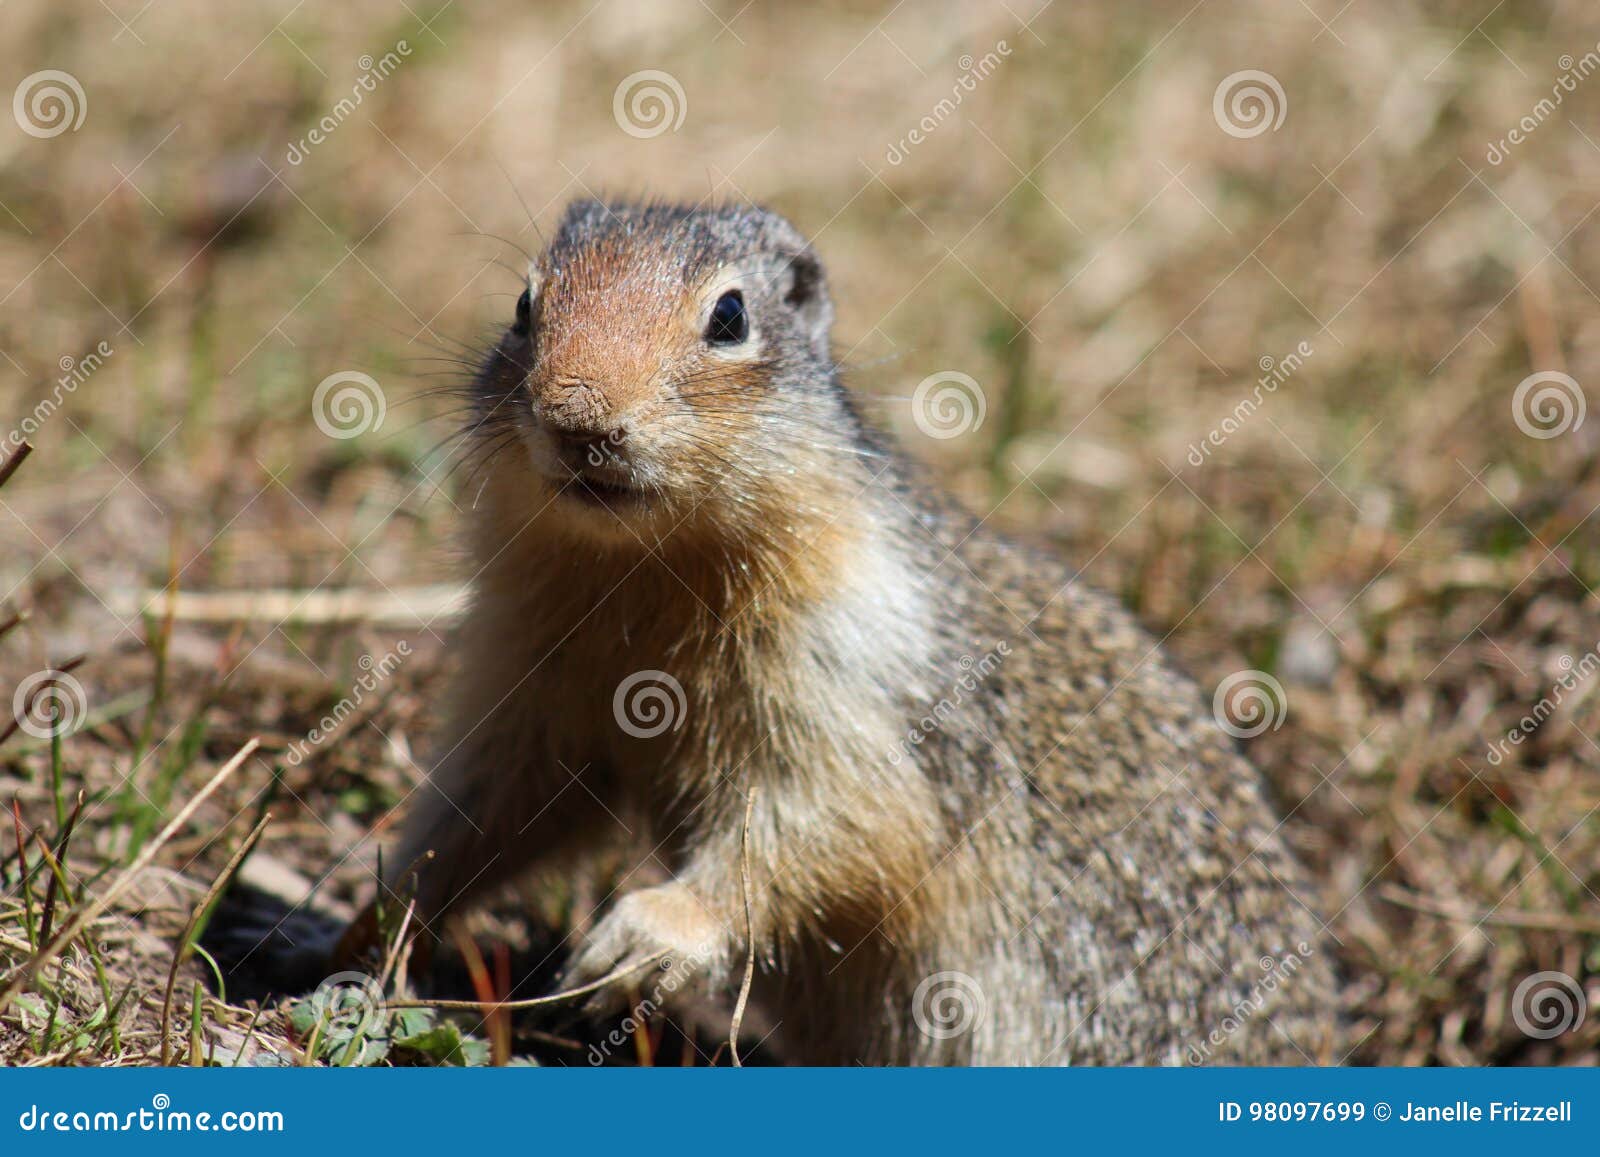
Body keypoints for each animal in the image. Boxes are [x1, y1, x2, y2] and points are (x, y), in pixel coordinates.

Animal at [357, 198, 1338, 1065]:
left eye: (730, 316)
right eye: (525, 304)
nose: (577, 418)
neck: (641, 572)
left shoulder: (848, 678)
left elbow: (827, 819)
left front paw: (645, 936)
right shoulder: (530, 677)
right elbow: (490, 799)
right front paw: (375, 920)